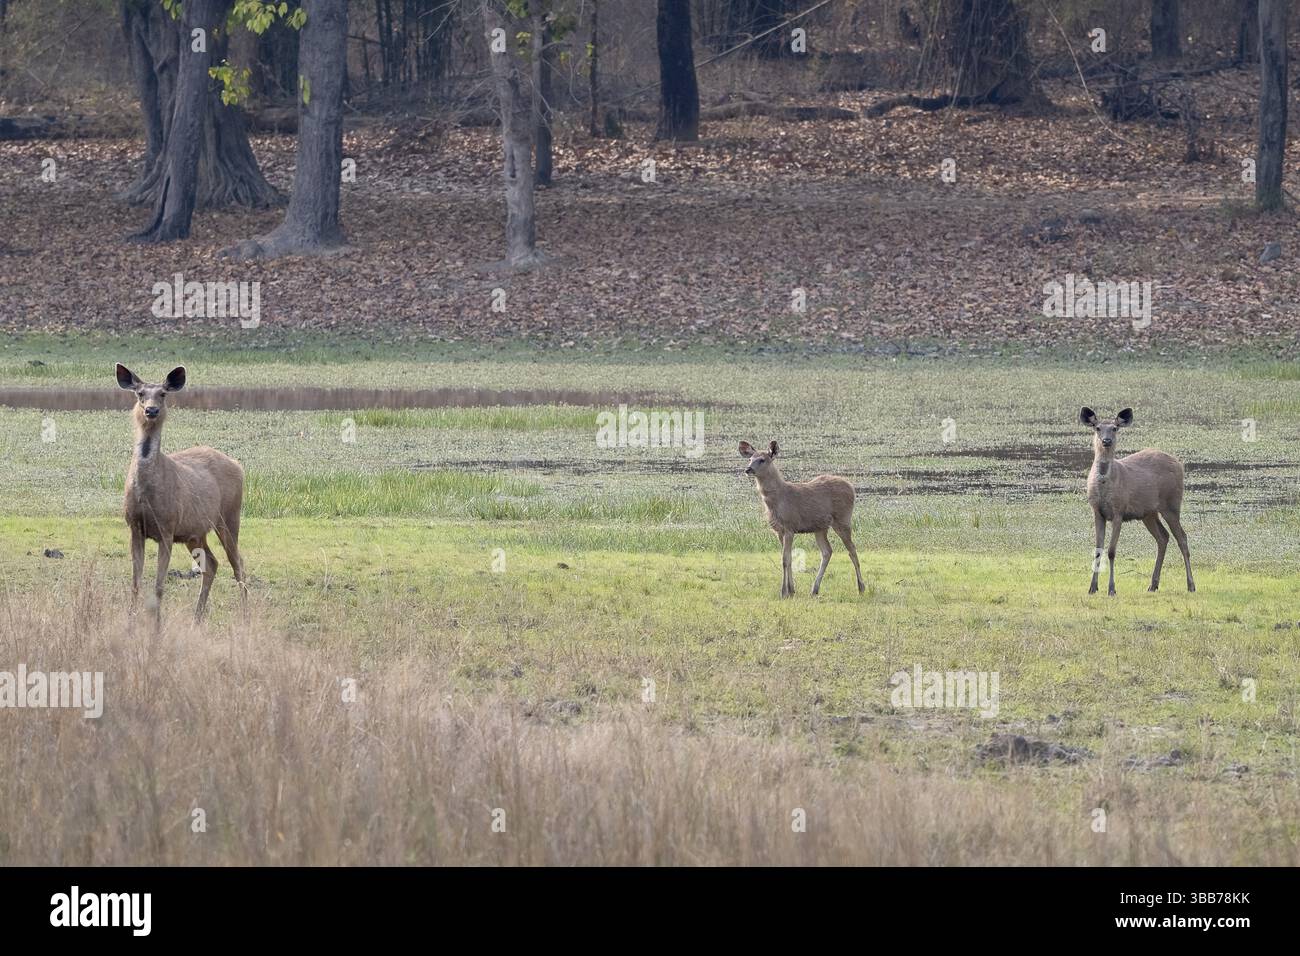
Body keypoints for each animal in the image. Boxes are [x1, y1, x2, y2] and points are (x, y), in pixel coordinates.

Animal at [117, 364, 247, 624]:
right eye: (140, 393)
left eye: (163, 394)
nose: (151, 410)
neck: (146, 494)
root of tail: (238, 465)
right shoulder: (135, 527)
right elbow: (136, 583)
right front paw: (130, 621)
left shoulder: (167, 527)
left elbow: (158, 585)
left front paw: (157, 625)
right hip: (194, 533)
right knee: (213, 563)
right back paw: (197, 617)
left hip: (229, 516)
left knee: (238, 563)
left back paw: (246, 614)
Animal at [738, 440, 865, 598]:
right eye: (750, 458)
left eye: (762, 459)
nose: (748, 469)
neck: (778, 500)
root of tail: (851, 487)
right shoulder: (779, 531)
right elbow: (789, 558)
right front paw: (792, 590)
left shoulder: (789, 526)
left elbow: (785, 559)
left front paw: (783, 592)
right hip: (820, 528)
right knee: (827, 551)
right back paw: (815, 589)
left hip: (843, 519)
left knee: (852, 549)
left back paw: (861, 587)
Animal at [1080, 407, 1195, 596]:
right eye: (1097, 428)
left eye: (1115, 428)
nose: (1106, 441)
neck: (1104, 487)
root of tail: (1180, 464)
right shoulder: (1097, 511)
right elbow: (1097, 550)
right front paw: (1092, 588)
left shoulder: (1118, 511)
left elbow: (1111, 551)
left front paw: (1112, 589)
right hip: (1148, 513)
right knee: (1163, 537)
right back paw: (1153, 585)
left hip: (1172, 504)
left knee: (1182, 538)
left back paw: (1191, 585)